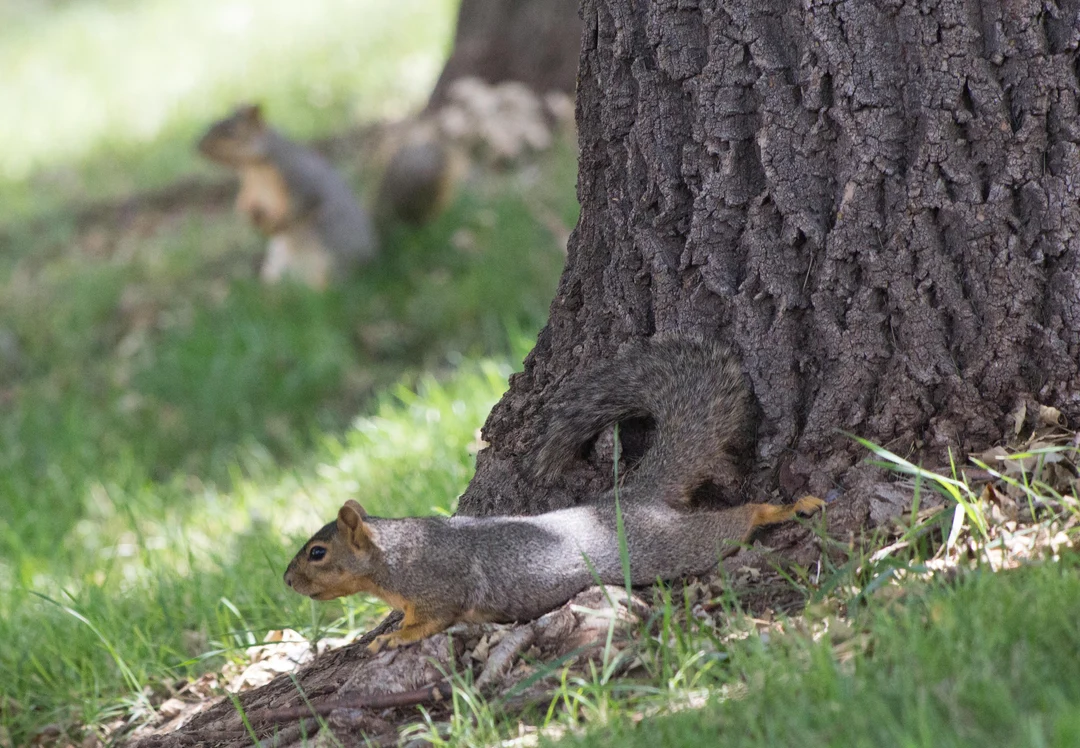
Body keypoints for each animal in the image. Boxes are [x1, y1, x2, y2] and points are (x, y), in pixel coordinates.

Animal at [197, 104, 377, 289]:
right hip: (275, 265)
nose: (198, 145)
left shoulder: (299, 181)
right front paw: (248, 215)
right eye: (213, 122)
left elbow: (296, 207)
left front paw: (275, 225)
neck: (255, 168)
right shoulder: (250, 188)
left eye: (231, 131)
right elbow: (244, 201)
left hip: (329, 262)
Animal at [283, 336, 825, 652]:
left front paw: (393, 637)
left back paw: (782, 509)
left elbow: (433, 619)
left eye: (318, 552)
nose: (287, 581)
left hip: (672, 544)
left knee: (731, 525)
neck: (394, 556)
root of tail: (628, 501)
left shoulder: (438, 587)